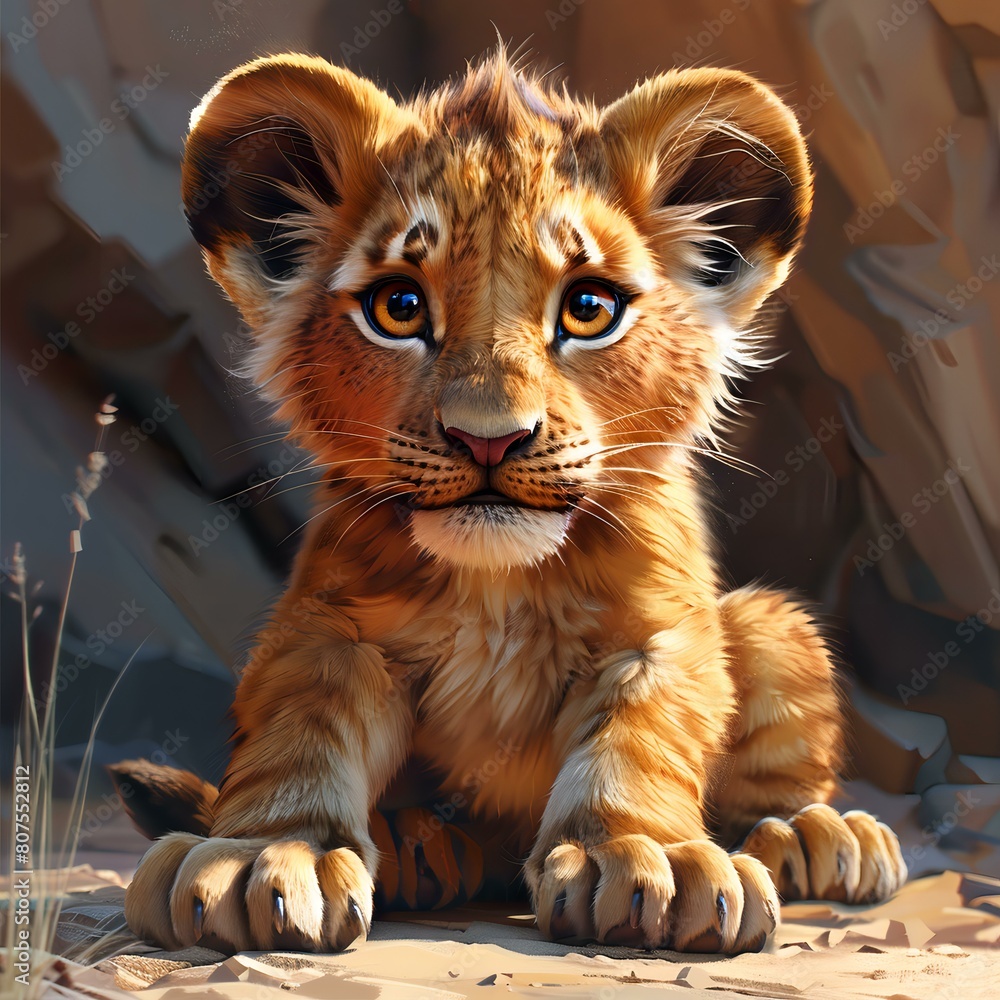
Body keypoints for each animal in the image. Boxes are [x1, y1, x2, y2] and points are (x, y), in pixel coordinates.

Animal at [115, 49, 905, 956]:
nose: (487, 439)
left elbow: (644, 732)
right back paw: (416, 846)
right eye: (399, 306)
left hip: (772, 625)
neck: (500, 585)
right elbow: (298, 725)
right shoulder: (329, 623)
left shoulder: (661, 634)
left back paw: (816, 834)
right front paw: (263, 855)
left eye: (589, 308)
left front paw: (651, 857)